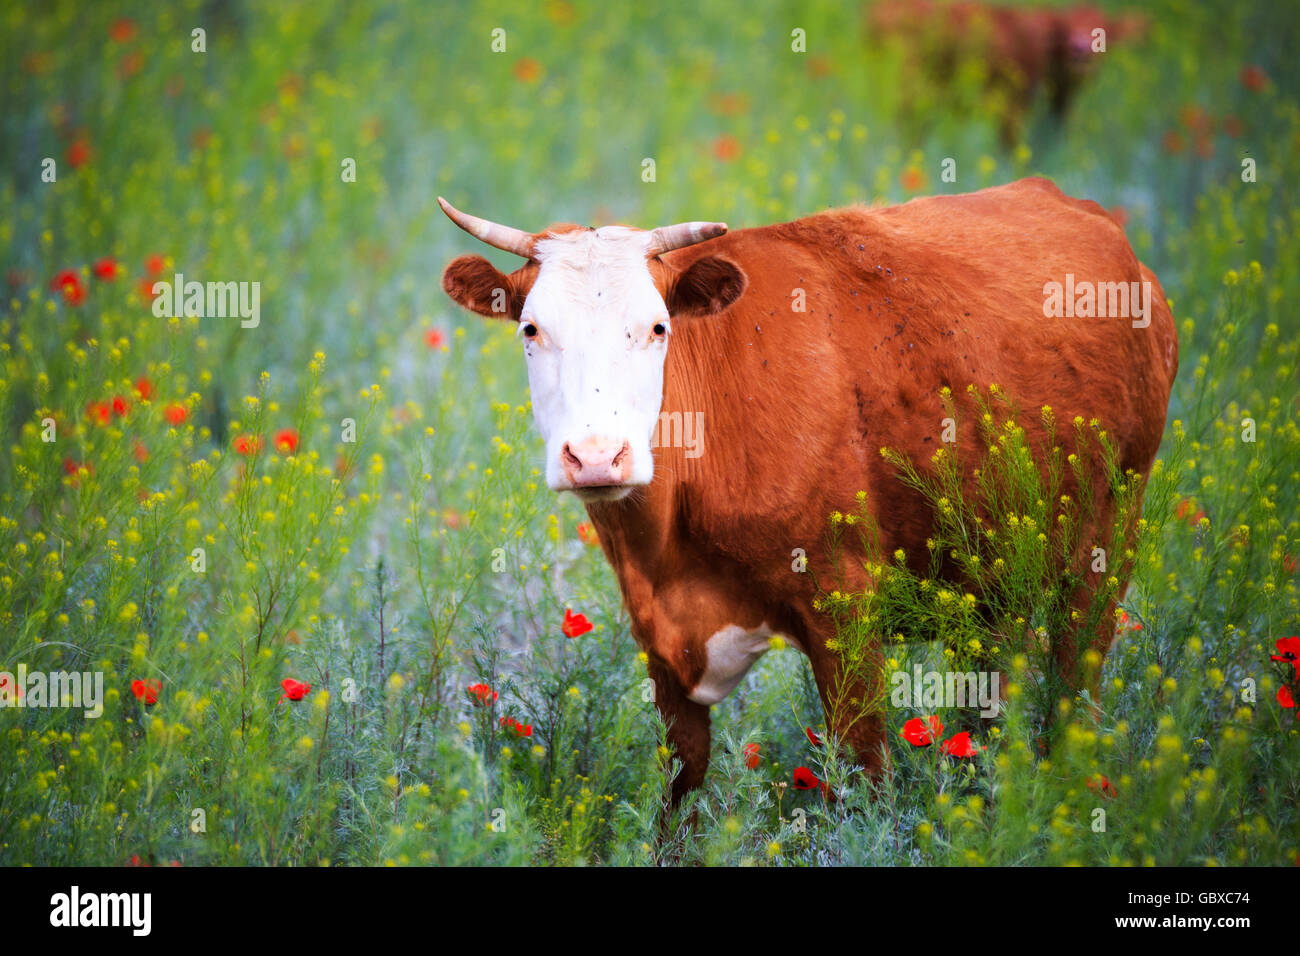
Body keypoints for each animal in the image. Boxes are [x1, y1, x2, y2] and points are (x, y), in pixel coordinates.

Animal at [439, 177, 1178, 804]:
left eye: (657, 327)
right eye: (531, 328)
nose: (596, 457)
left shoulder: (844, 610)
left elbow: (868, 778)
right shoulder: (660, 639)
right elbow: (680, 792)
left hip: (1106, 545)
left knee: (1075, 692)